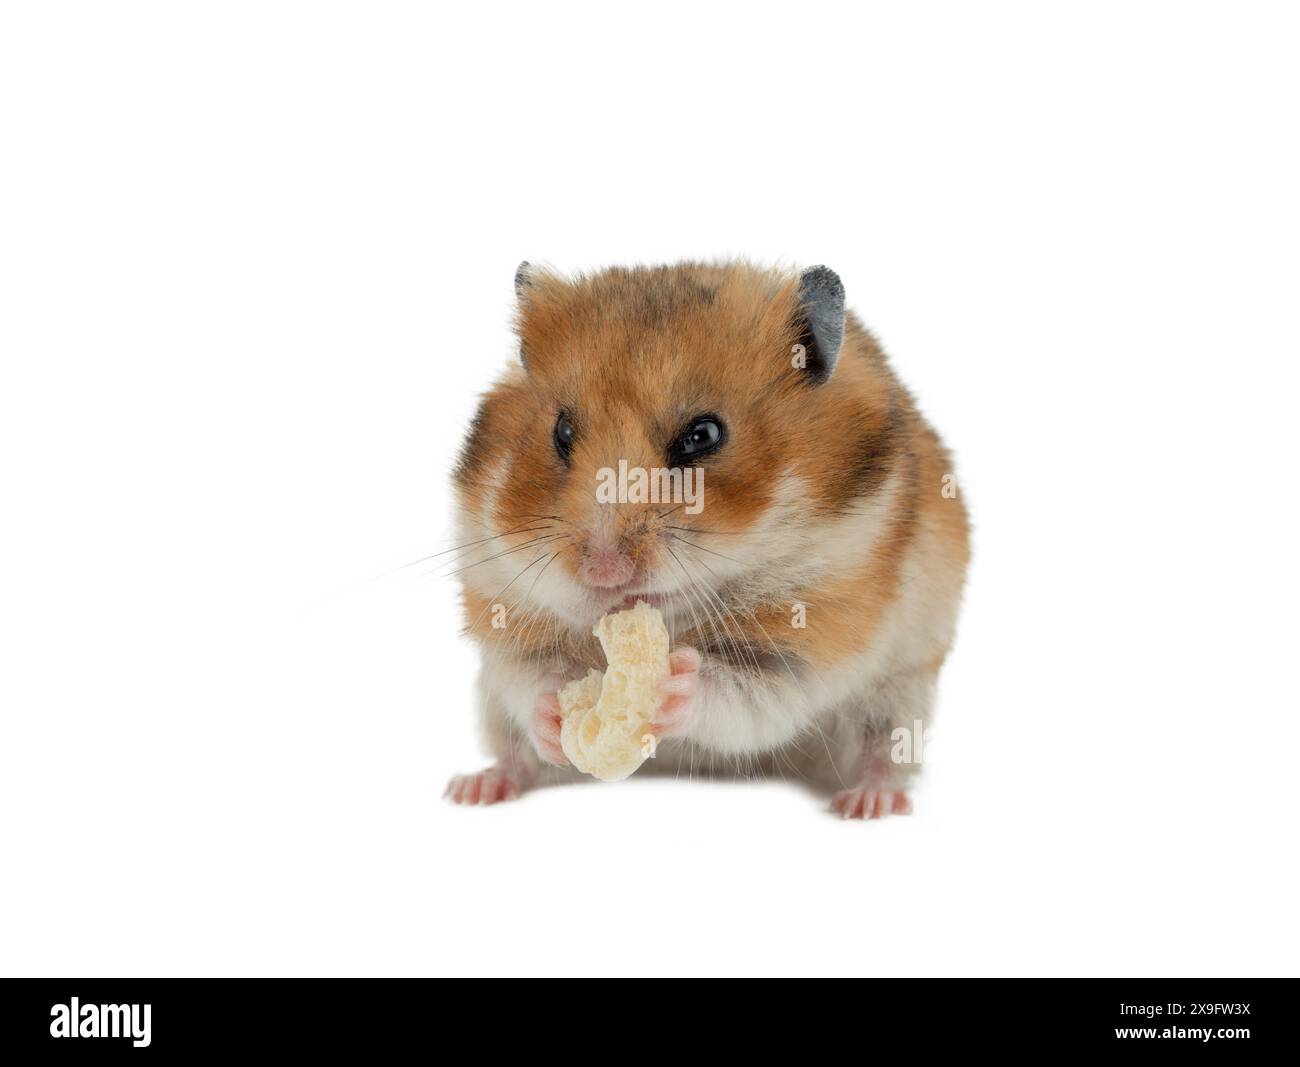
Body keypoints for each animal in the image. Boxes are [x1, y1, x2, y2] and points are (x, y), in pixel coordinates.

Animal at [443, 261, 970, 818]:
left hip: (901, 695)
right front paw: (555, 711)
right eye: (562, 433)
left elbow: (747, 691)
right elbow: (529, 677)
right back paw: (474, 789)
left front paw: (671, 684)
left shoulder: (819, 633)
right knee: (513, 753)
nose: (602, 573)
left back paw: (868, 803)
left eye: (704, 435)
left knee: (882, 752)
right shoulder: (503, 610)